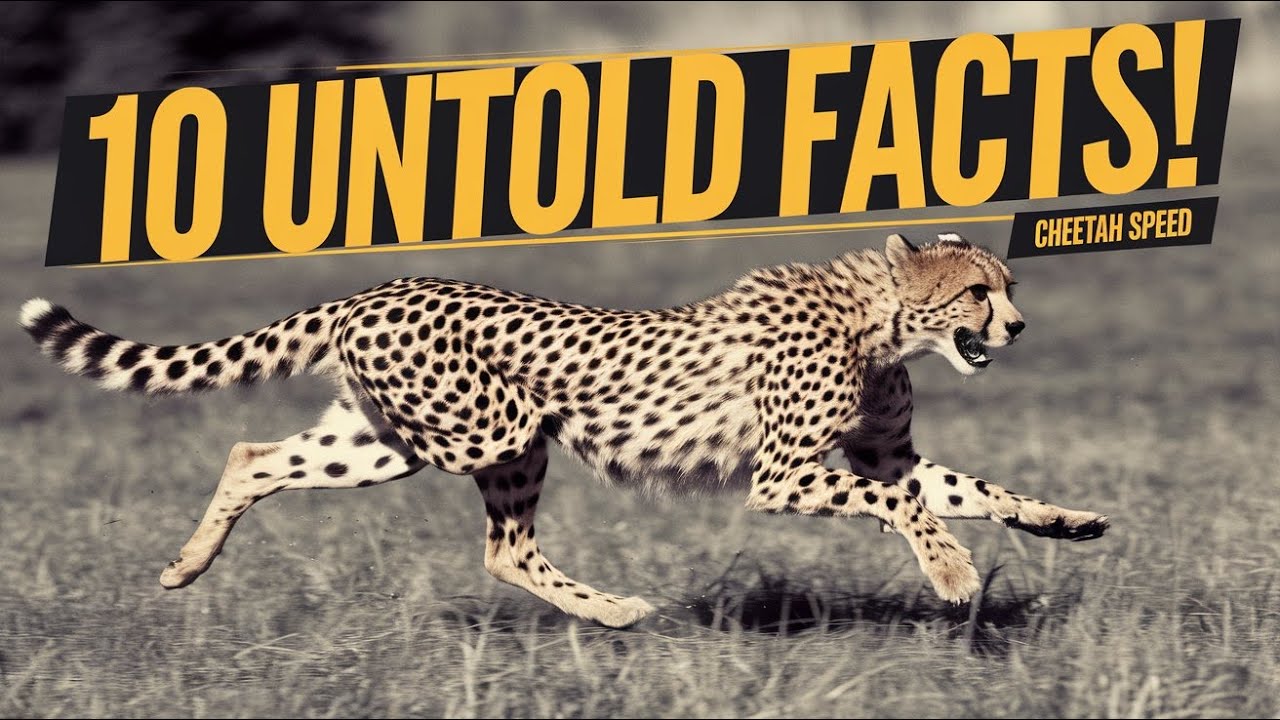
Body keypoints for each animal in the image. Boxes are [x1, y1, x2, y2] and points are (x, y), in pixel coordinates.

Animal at [19, 232, 1109, 629]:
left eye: (1009, 286)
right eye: (980, 292)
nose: (1018, 327)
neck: (874, 316)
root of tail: (372, 287)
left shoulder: (883, 450)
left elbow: (965, 488)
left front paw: (1062, 520)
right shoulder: (785, 476)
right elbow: (903, 506)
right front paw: (952, 573)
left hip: (387, 439)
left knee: (254, 454)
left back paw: (186, 567)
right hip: (494, 429)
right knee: (501, 546)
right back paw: (617, 611)